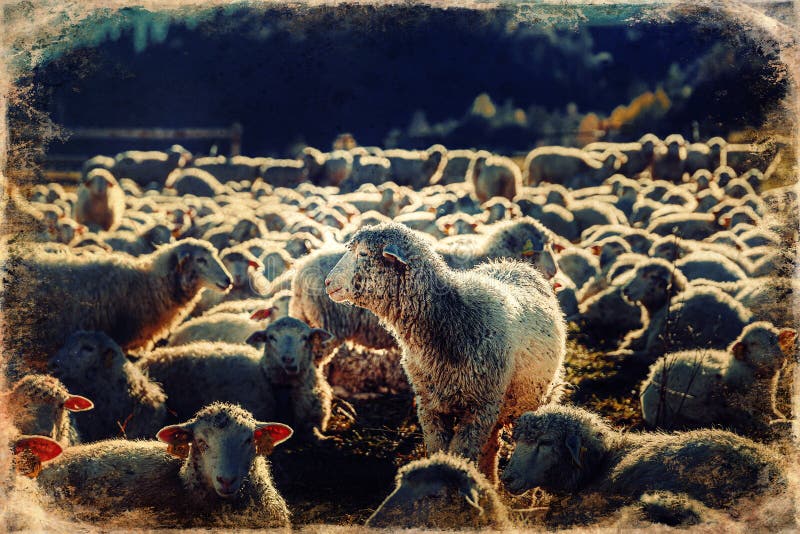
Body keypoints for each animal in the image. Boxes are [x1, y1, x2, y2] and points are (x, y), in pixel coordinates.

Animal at [325, 222, 566, 482]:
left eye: (363, 254)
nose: (327, 282)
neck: (451, 318)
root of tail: (514, 264)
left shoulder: (480, 407)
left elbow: (460, 453)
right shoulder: (430, 406)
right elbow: (439, 450)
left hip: (531, 398)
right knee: (491, 446)